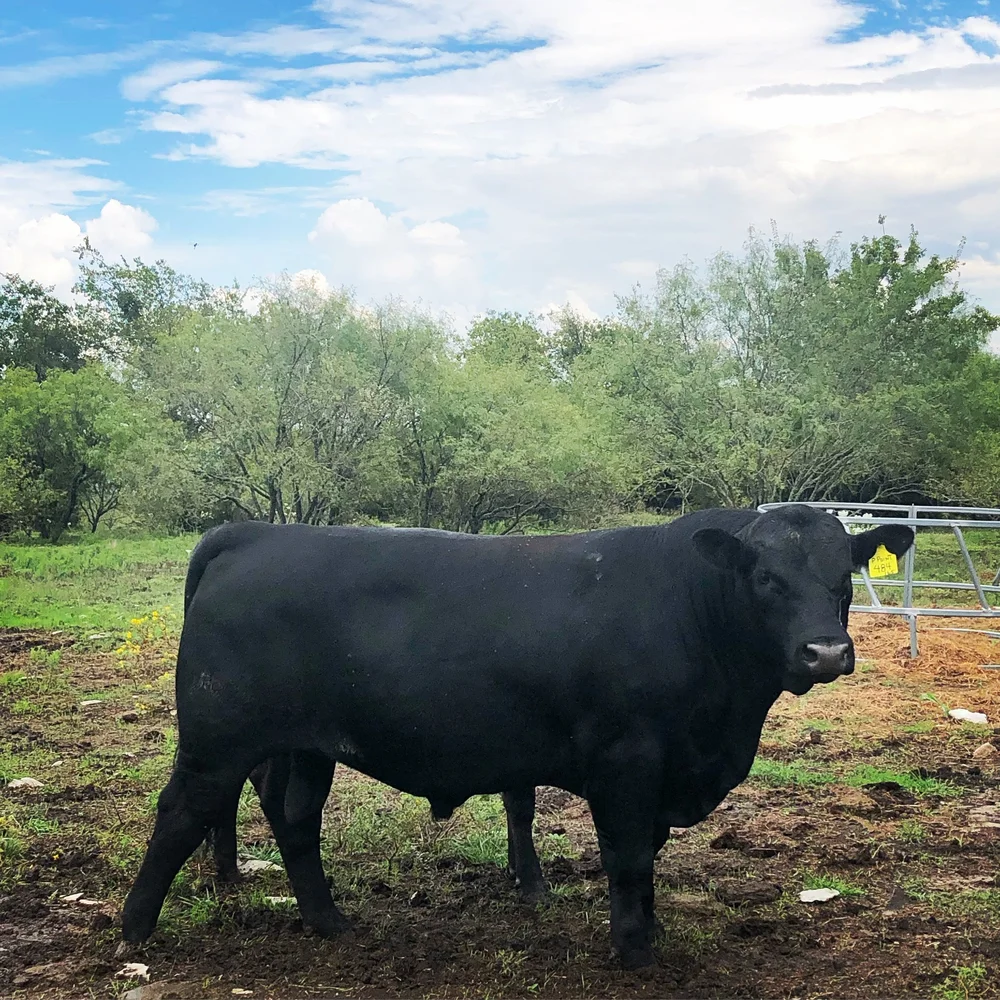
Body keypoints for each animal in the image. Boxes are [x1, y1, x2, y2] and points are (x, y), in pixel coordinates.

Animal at [121, 505, 913, 968]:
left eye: (844, 577)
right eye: (767, 578)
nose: (825, 652)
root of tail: (254, 534)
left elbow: (645, 859)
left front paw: (648, 933)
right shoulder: (627, 760)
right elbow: (628, 857)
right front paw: (635, 953)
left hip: (310, 745)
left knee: (294, 818)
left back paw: (329, 921)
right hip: (218, 741)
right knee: (182, 814)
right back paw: (134, 933)